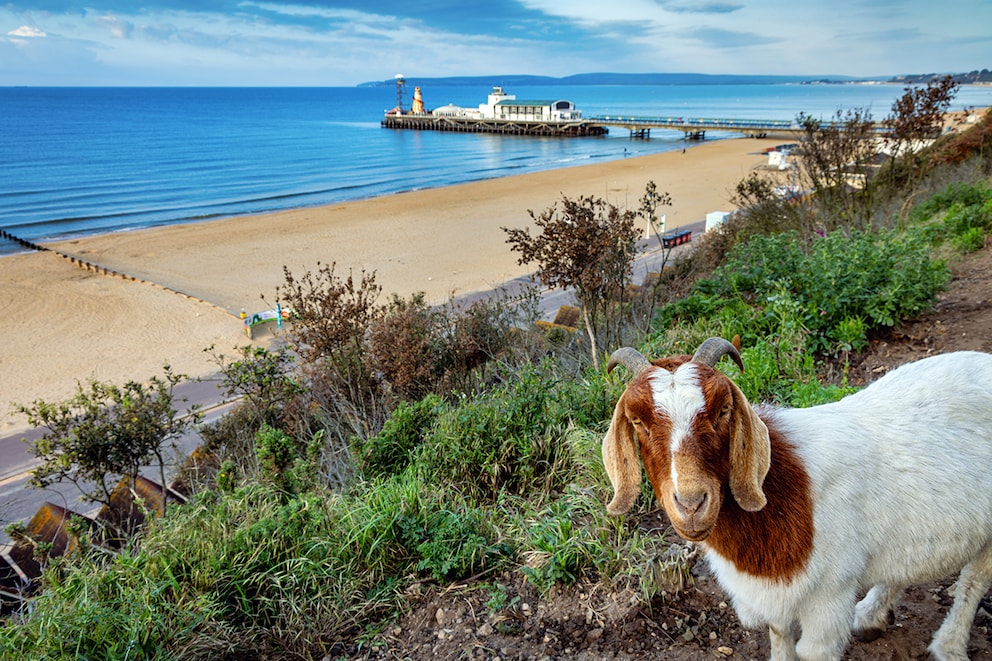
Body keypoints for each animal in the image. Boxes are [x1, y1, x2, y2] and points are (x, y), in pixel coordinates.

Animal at [602, 337, 992, 661]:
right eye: (636, 421)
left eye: (723, 410)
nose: (692, 504)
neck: (783, 489)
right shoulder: (775, 596)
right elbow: (780, 636)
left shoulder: (829, 601)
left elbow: (812, 650)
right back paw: (871, 616)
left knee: (974, 581)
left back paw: (950, 647)